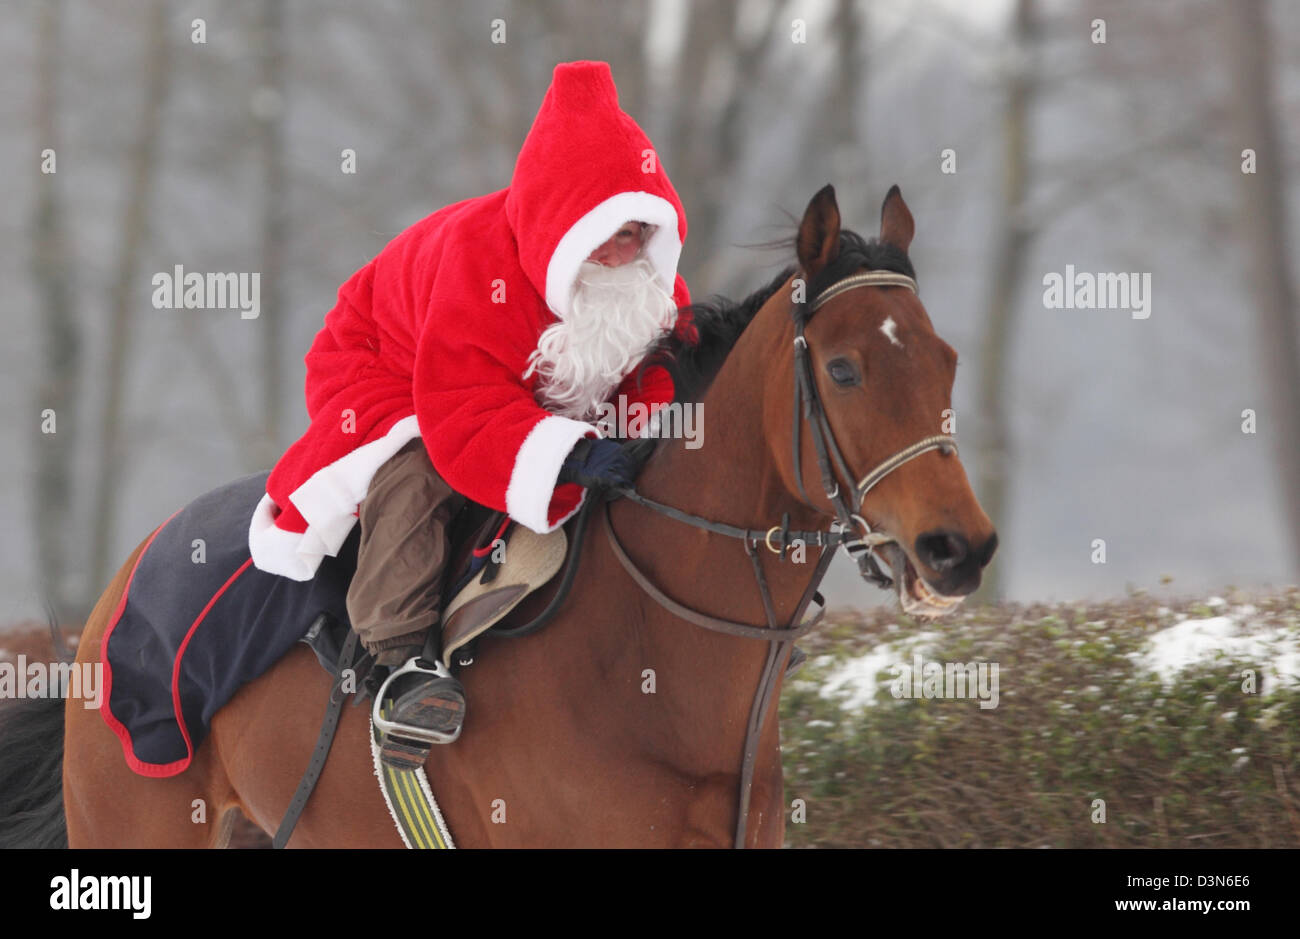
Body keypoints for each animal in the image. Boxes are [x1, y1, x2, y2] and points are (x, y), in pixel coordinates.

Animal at [1, 184, 996, 848]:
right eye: (844, 368)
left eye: (947, 361)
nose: (960, 547)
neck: (648, 661)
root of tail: (120, 585)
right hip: (143, 816)